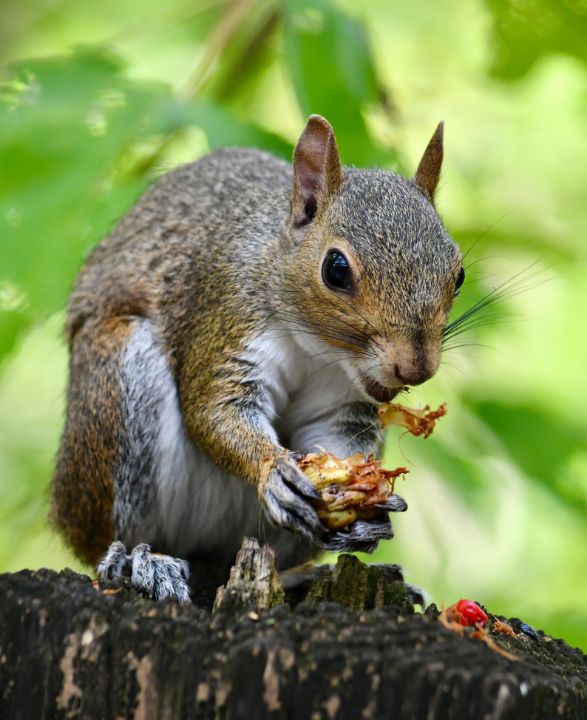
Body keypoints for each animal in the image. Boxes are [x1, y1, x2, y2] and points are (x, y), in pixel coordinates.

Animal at [50, 115, 463, 603]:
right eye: (336, 269)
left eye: (458, 274)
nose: (416, 367)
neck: (315, 347)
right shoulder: (228, 318)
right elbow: (214, 410)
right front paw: (274, 471)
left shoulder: (342, 402)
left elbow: (334, 440)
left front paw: (367, 507)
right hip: (118, 395)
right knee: (115, 535)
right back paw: (139, 561)